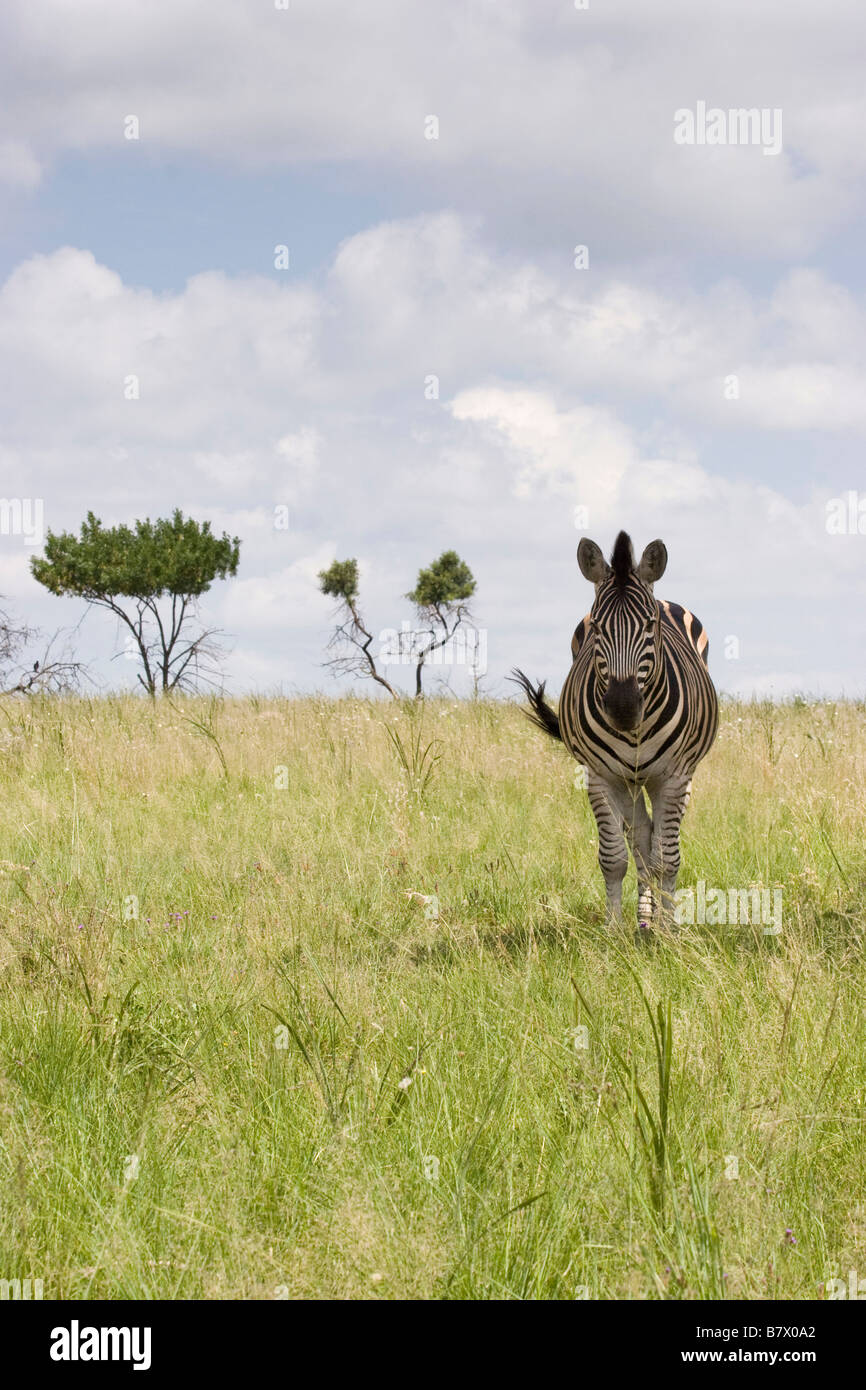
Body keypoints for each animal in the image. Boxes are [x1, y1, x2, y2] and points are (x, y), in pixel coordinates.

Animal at [514, 531, 718, 927]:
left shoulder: (673, 777)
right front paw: (612, 928)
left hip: (678, 777)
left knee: (657, 844)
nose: (623, 709)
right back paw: (643, 917)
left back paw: (655, 918)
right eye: (596, 627)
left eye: (651, 625)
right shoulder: (600, 777)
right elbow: (614, 858)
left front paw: (669, 930)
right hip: (629, 781)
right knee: (640, 841)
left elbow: (667, 858)